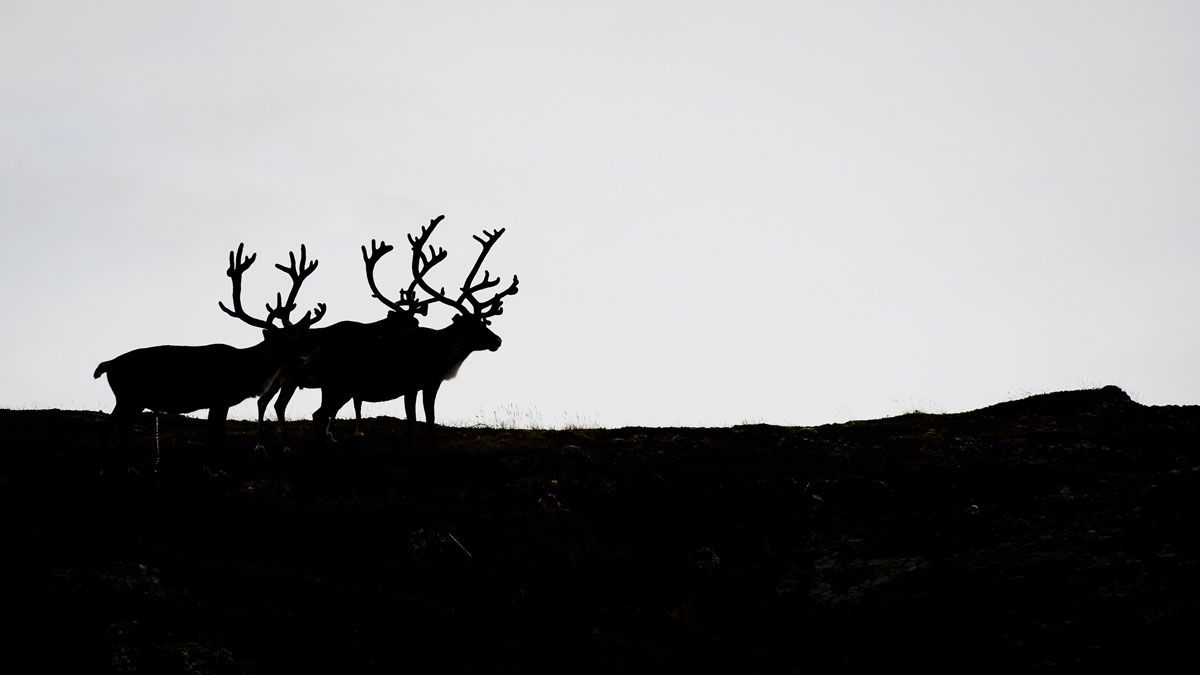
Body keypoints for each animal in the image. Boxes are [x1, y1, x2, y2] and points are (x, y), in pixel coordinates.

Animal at [93, 243, 326, 468]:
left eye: (295, 339)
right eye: (280, 342)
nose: (303, 359)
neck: (247, 370)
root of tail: (108, 365)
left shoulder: (219, 402)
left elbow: (214, 436)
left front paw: (213, 465)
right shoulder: (219, 399)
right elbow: (218, 437)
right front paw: (219, 467)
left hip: (135, 400)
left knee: (123, 425)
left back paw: (130, 463)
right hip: (127, 396)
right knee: (109, 425)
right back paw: (105, 465)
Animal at [254, 237, 433, 450]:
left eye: (416, 321)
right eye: (406, 321)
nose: (418, 330)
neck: (372, 334)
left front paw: (334, 433)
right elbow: (354, 402)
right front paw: (348, 432)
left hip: (277, 380)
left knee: (262, 401)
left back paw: (261, 443)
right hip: (288, 379)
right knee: (276, 404)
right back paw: (280, 444)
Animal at [309, 215, 519, 446]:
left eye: (484, 322)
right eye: (472, 325)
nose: (497, 340)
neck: (445, 353)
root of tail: (317, 353)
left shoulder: (427, 384)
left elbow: (426, 418)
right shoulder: (416, 384)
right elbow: (417, 420)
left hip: (334, 389)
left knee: (319, 414)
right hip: (339, 387)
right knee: (319, 414)